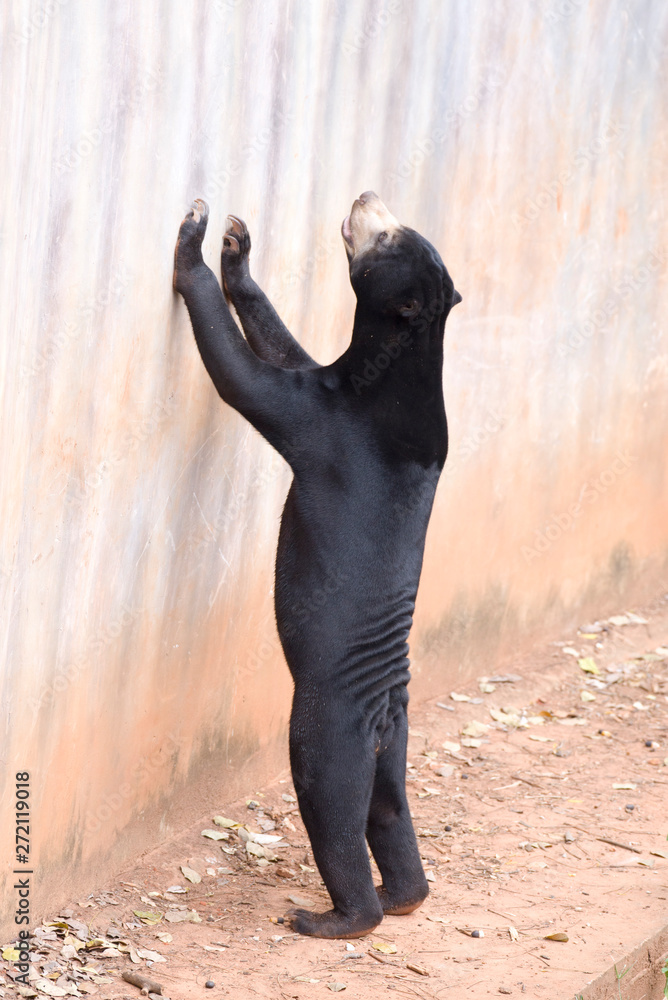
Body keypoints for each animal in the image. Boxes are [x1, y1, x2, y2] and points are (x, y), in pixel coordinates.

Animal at [173, 191, 461, 938]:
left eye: (386, 239)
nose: (363, 194)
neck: (396, 363)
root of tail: (382, 713)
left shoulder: (320, 418)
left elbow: (241, 375)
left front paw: (196, 237)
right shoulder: (318, 375)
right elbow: (278, 338)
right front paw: (237, 247)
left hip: (324, 729)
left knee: (332, 811)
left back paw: (332, 918)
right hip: (392, 747)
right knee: (389, 811)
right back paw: (405, 896)